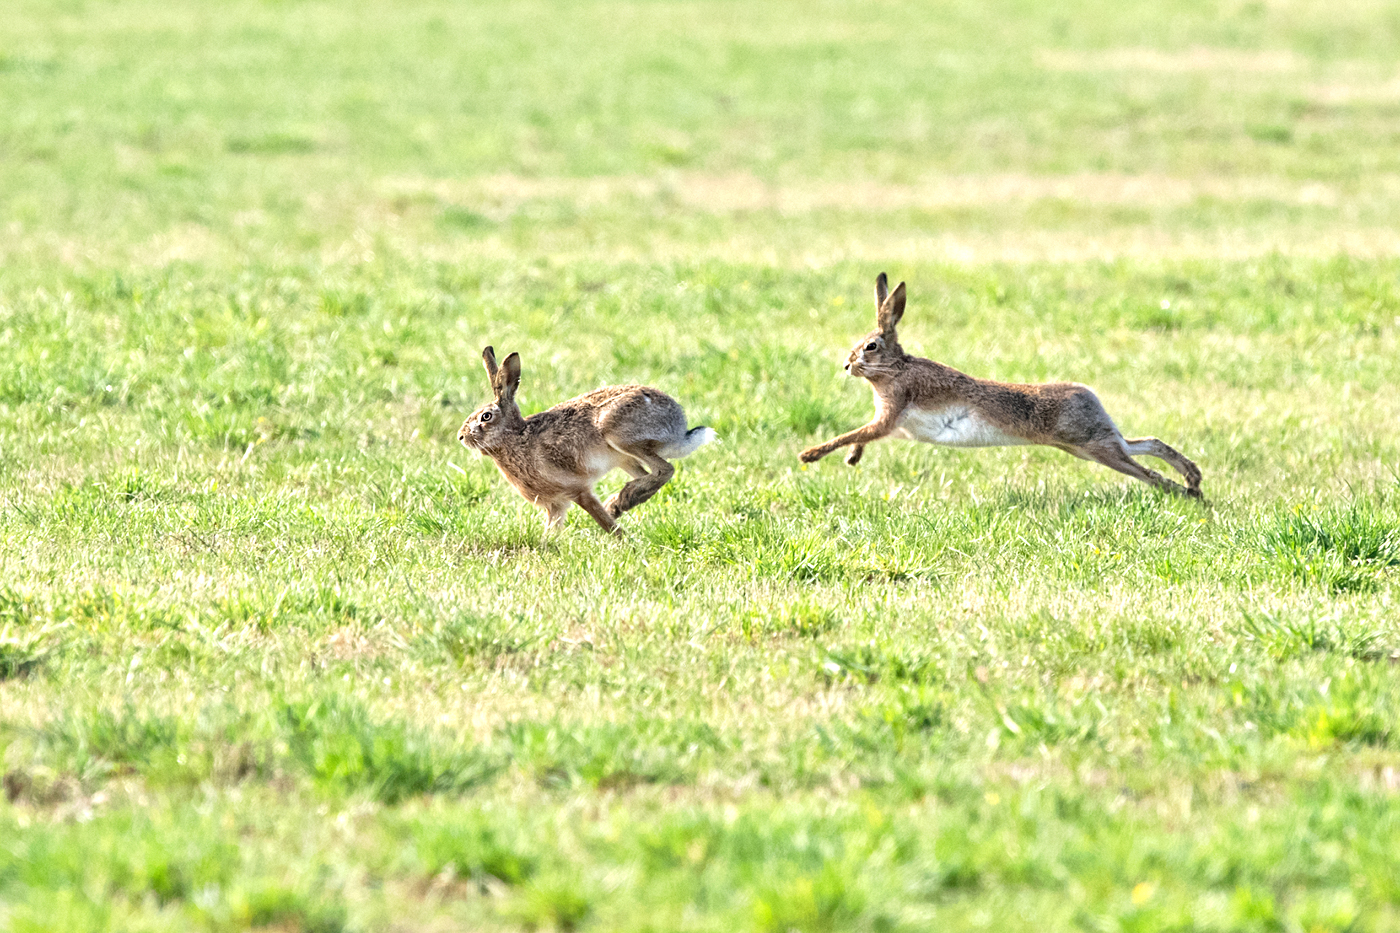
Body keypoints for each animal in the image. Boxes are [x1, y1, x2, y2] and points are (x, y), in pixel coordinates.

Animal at [459, 346, 716, 534]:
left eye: (486, 416)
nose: (461, 436)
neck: (515, 436)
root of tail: (679, 427)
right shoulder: (556, 505)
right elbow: (551, 531)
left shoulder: (577, 490)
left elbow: (604, 522)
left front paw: (625, 542)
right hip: (623, 456)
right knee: (649, 474)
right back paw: (623, 502)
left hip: (617, 432)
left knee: (665, 469)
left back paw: (618, 503)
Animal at [799, 273, 1203, 498]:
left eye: (870, 346)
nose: (847, 364)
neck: (896, 369)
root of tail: (1088, 394)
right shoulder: (889, 425)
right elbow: (862, 435)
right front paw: (852, 459)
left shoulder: (891, 413)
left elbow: (852, 433)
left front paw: (809, 455)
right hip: (1087, 446)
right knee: (1144, 444)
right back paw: (1193, 481)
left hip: (1092, 445)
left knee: (1147, 471)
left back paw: (1189, 495)